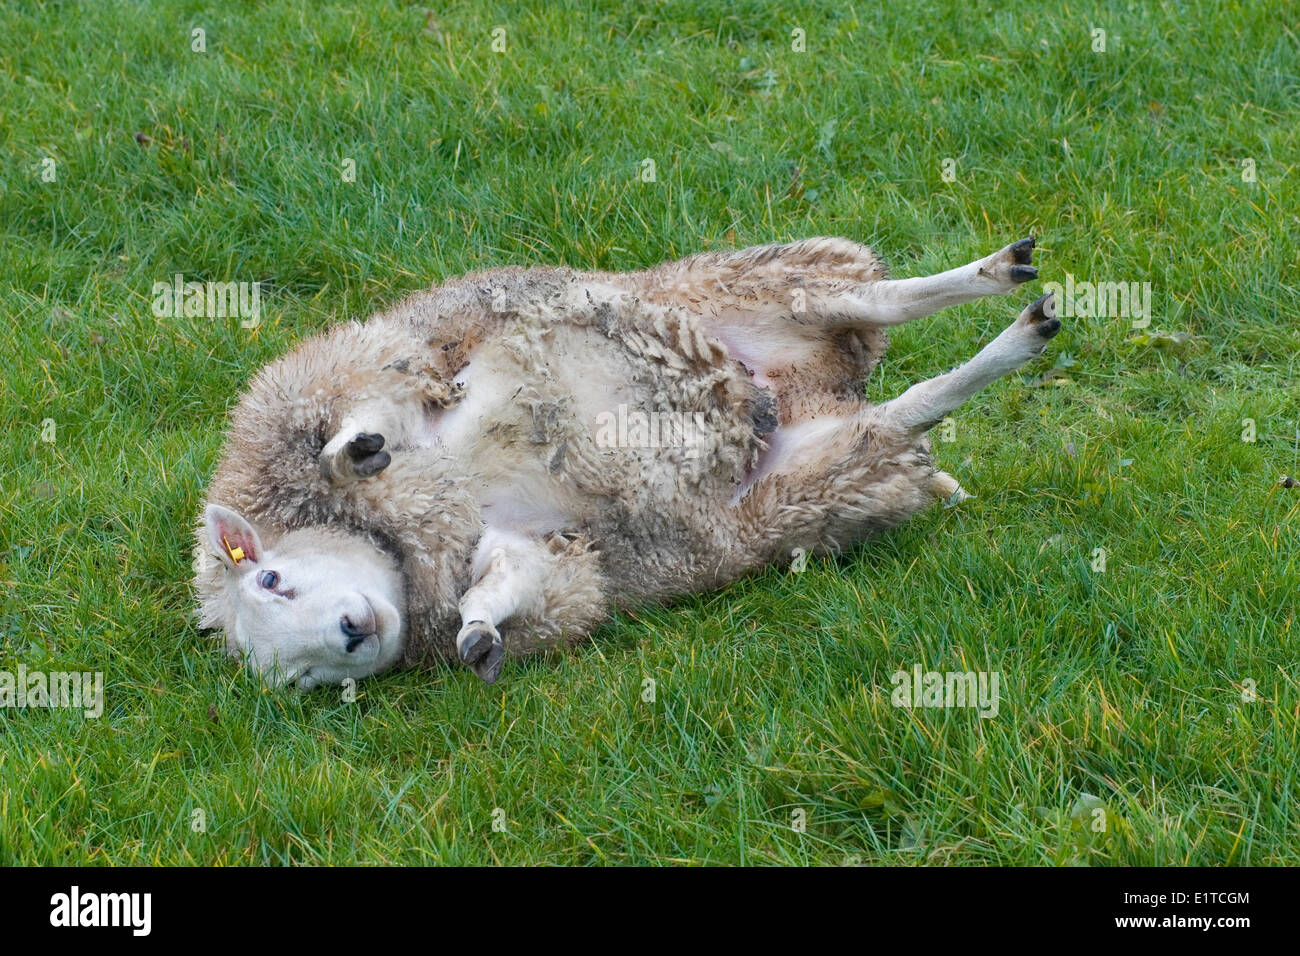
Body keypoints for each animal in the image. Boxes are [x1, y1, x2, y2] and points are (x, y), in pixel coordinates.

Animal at [194, 237, 1059, 686]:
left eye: (273, 578)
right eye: (304, 679)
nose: (349, 635)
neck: (405, 548)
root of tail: (825, 386)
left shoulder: (369, 374)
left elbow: (371, 419)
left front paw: (356, 451)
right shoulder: (533, 551)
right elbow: (508, 584)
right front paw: (479, 633)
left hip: (739, 291)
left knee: (879, 301)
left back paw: (1003, 283)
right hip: (811, 483)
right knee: (913, 405)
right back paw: (1012, 334)